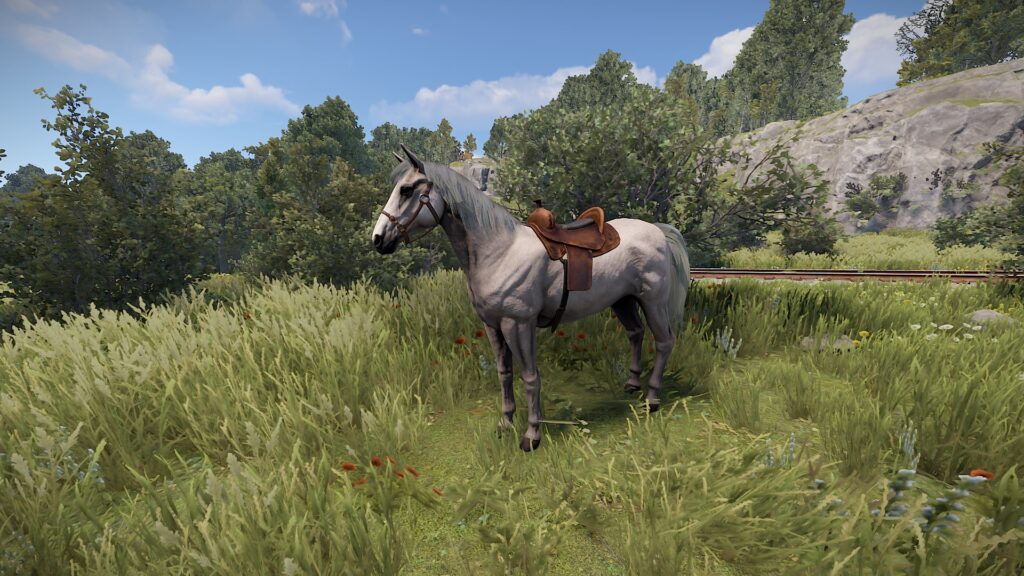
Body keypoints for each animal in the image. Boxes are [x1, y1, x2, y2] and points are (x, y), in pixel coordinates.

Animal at [372, 145, 690, 451]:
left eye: (407, 190)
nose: (378, 239)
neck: (499, 250)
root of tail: (658, 231)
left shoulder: (518, 324)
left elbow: (530, 376)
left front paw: (531, 435)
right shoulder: (492, 325)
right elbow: (504, 373)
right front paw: (505, 423)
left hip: (653, 302)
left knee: (664, 342)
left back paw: (651, 399)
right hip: (622, 301)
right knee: (636, 333)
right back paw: (632, 384)